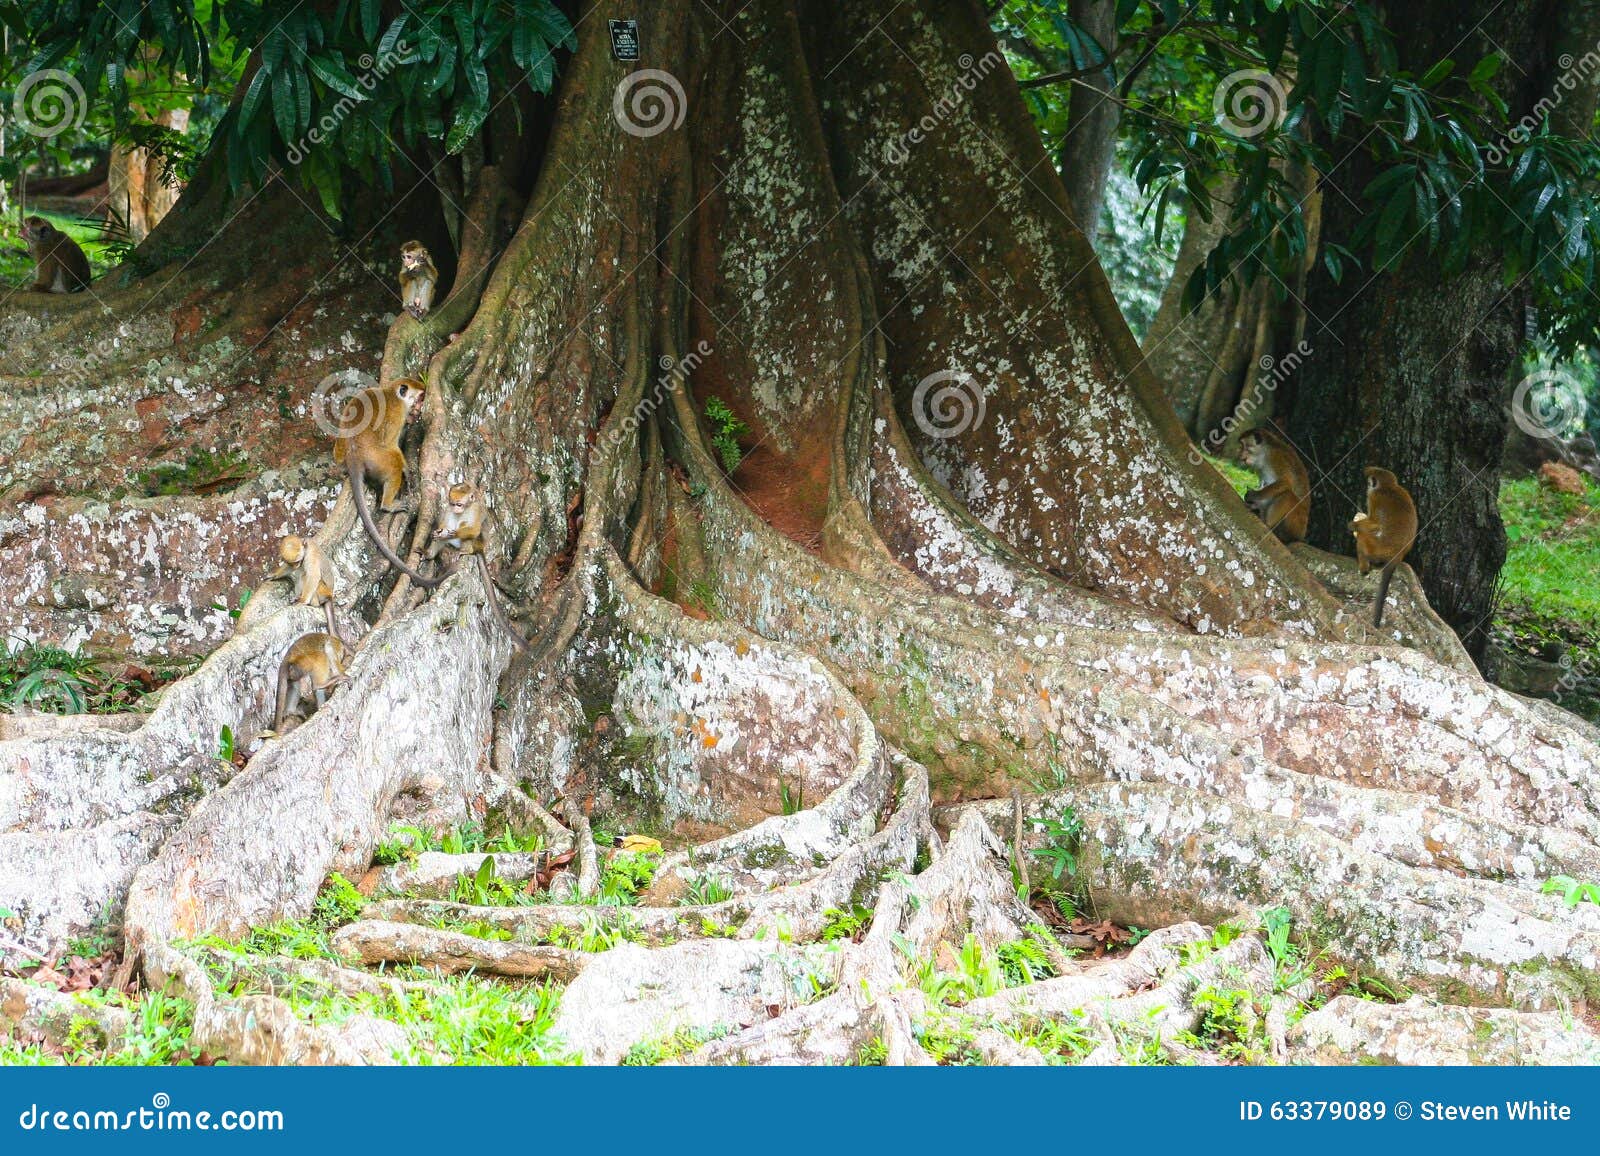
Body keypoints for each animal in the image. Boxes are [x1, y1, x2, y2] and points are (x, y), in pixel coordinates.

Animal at [332, 376, 442, 589]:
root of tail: (353, 453)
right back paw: (388, 504)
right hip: (377, 459)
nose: (419, 409)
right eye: (420, 397)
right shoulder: (396, 415)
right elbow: (392, 444)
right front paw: (407, 469)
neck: (393, 394)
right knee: (393, 464)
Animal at [426, 481, 531, 652]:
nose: (456, 509)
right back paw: (429, 553)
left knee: (471, 531)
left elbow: (474, 529)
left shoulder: (475, 510)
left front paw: (451, 533)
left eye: (460, 504)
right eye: (453, 503)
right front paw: (439, 531)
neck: (467, 507)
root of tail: (480, 549)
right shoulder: (448, 508)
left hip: (476, 543)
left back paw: (465, 550)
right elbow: (443, 524)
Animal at [1348, 466, 1418, 628]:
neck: (1388, 486)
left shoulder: (1374, 497)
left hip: (1375, 547)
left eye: (1369, 482)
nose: (1367, 485)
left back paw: (1364, 566)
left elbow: (1375, 523)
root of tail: (1397, 555)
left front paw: (1354, 525)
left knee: (1364, 537)